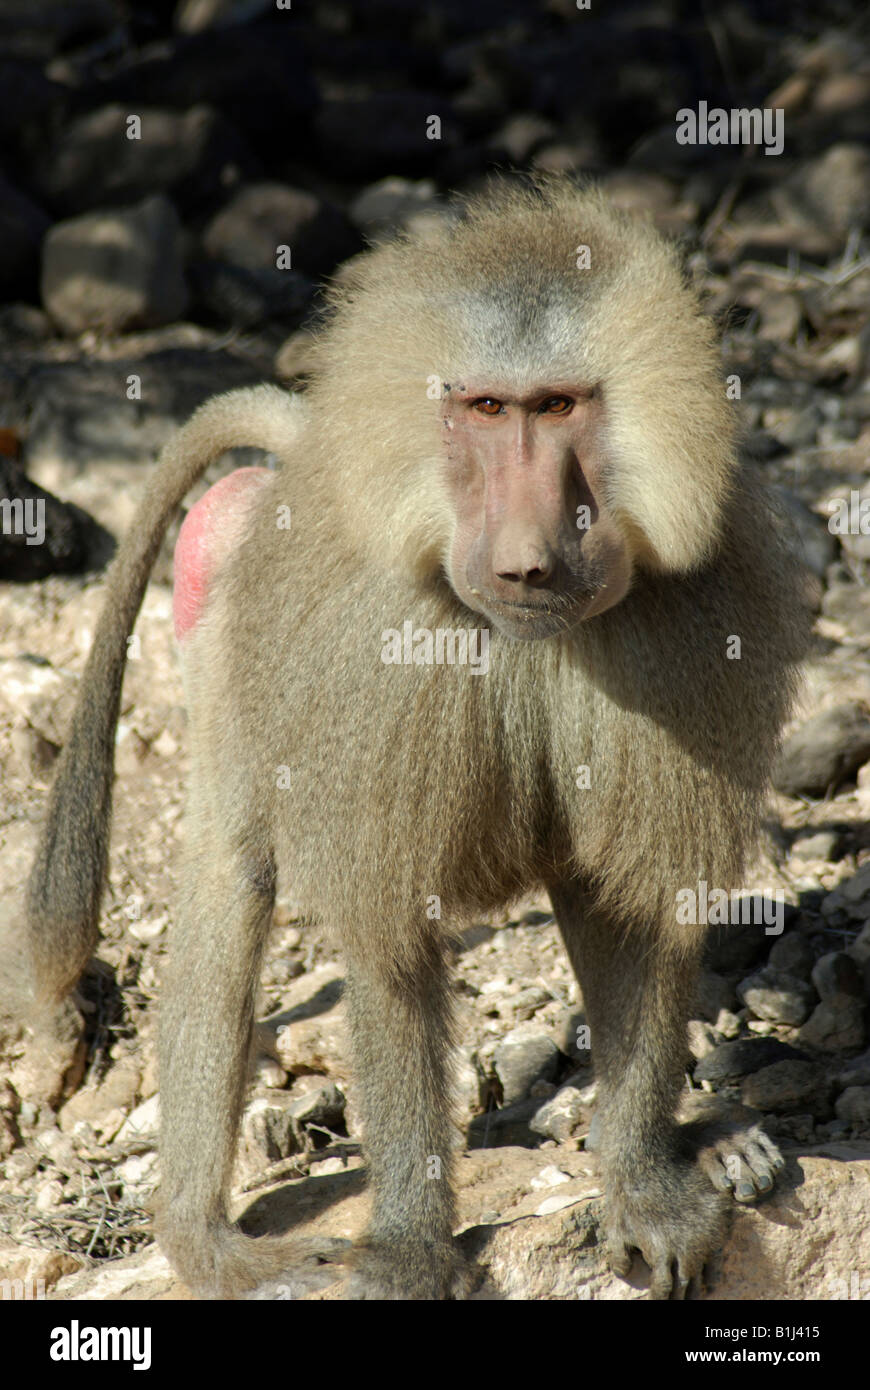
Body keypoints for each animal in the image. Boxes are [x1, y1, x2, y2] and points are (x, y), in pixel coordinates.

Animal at [22, 176, 808, 1300]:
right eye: (483, 410)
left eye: (557, 406)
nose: (528, 562)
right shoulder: (377, 675)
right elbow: (391, 937)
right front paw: (405, 1248)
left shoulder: (677, 634)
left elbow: (635, 904)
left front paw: (647, 1187)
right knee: (231, 872)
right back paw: (205, 1242)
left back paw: (710, 1133)